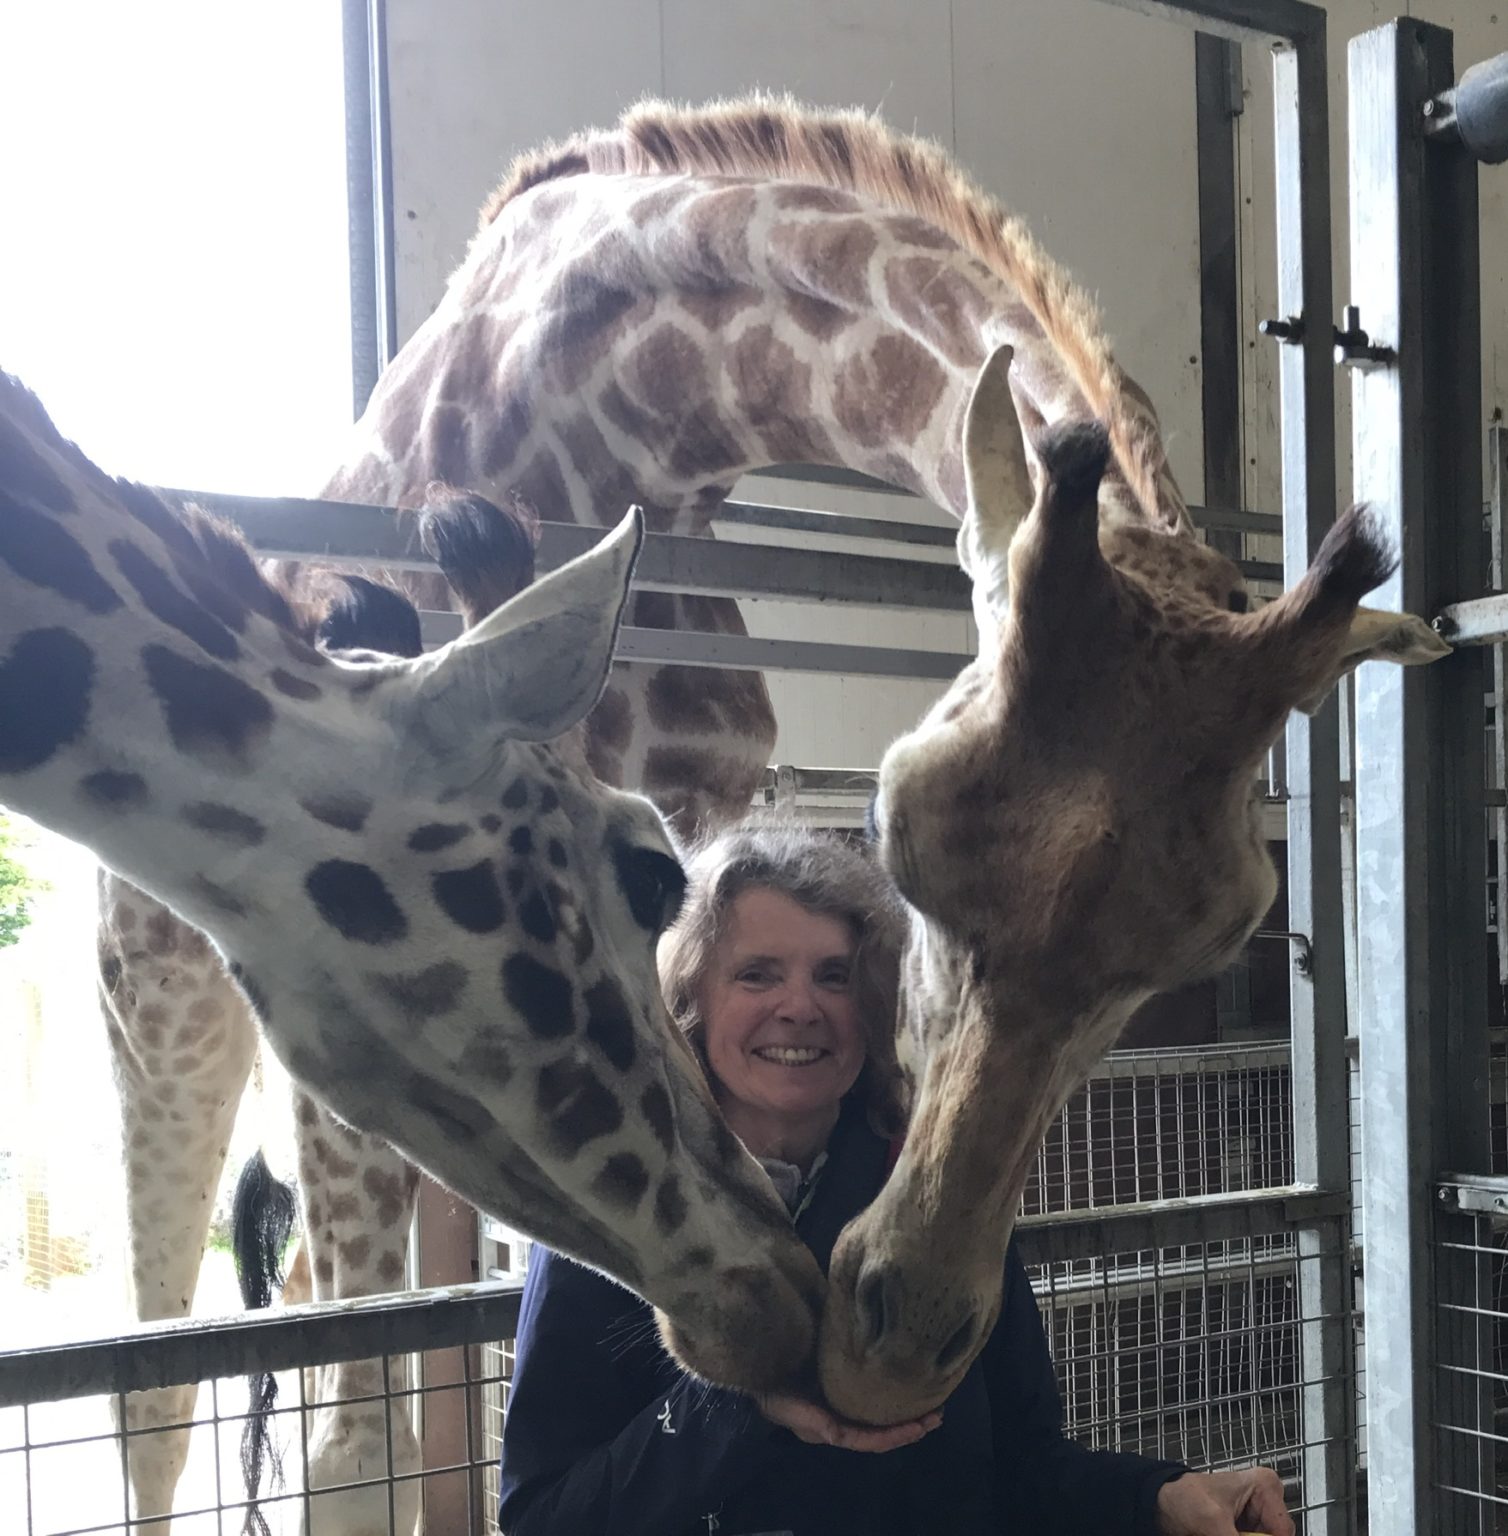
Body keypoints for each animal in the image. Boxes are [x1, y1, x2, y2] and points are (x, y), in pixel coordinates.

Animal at [96, 93, 1450, 1528]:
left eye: (1218, 933)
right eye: (898, 829)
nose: (892, 1348)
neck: (615, 421)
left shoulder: (688, 829)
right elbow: (352, 1452)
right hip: (167, 1014)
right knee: (181, 1391)